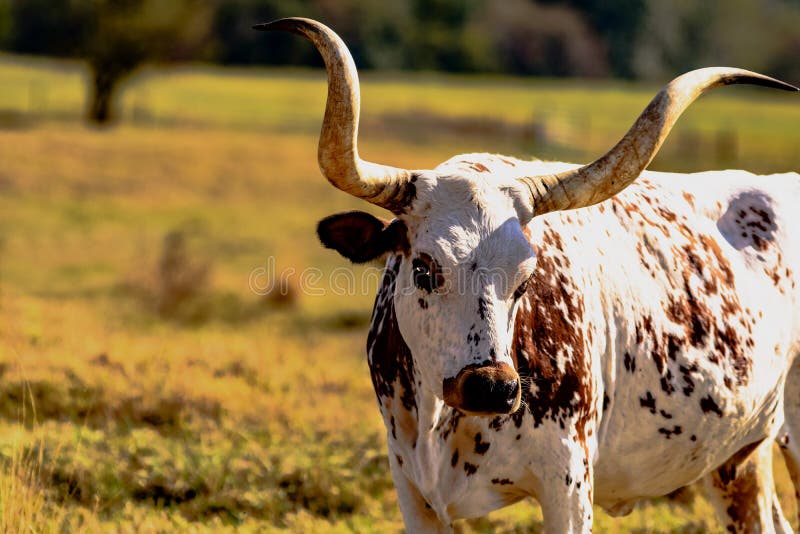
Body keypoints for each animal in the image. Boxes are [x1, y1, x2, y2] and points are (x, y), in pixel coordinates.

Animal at [255, 18, 800, 533]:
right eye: (425, 268)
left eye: (525, 280)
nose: (492, 387)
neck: (442, 424)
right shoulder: (412, 488)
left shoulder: (569, 484)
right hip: (739, 456)